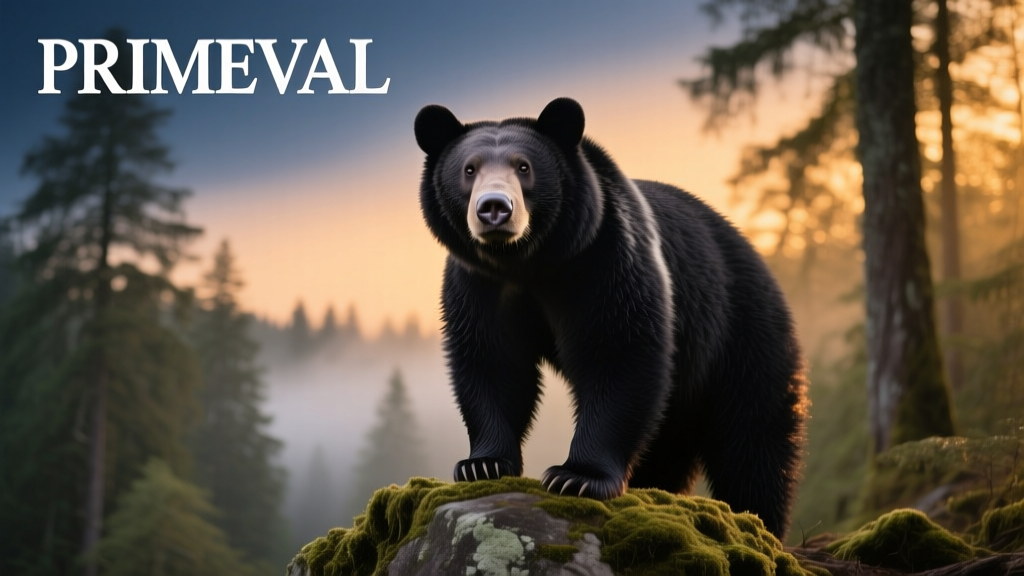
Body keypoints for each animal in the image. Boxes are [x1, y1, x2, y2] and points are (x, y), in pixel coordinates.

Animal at [414, 97, 807, 538]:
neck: (528, 262)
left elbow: (618, 351)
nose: (494, 209)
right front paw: (482, 464)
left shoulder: (605, 258)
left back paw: (759, 519)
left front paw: (576, 476)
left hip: (741, 336)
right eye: (469, 169)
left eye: (524, 167)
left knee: (752, 441)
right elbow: (492, 361)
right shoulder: (478, 285)